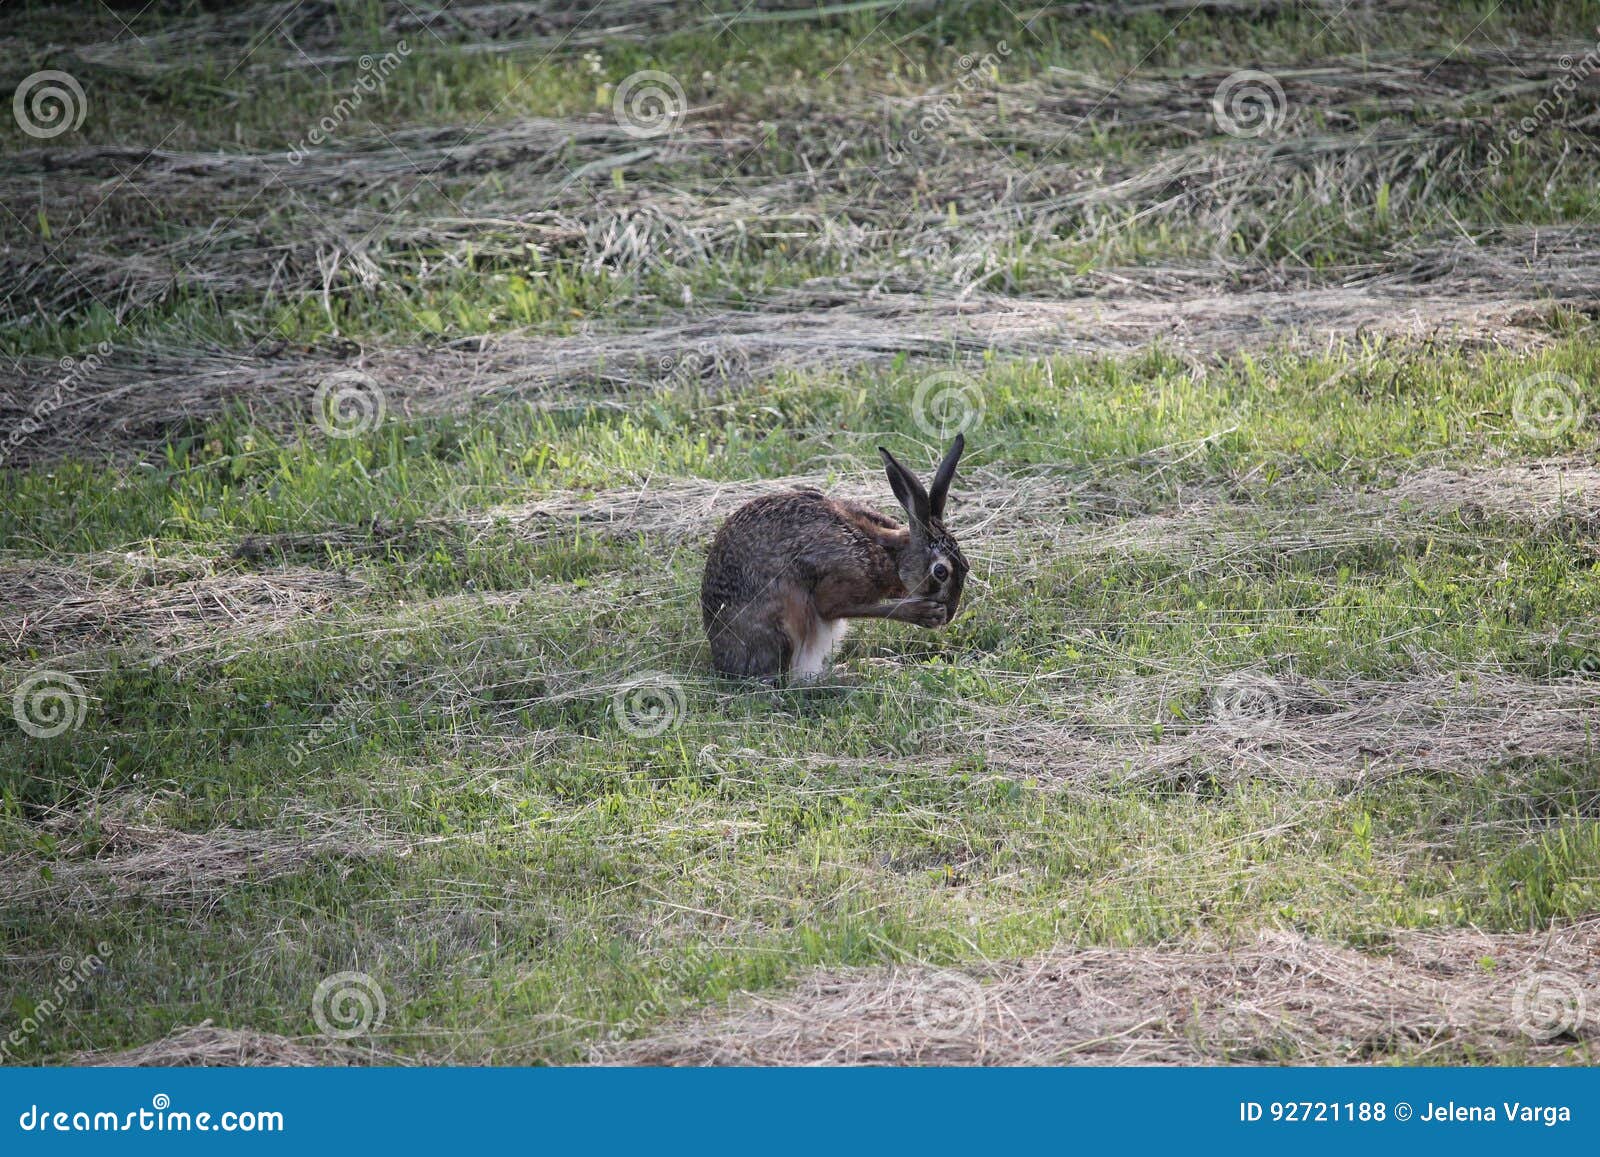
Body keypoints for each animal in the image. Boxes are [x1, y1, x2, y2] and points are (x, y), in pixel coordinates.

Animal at [701, 434, 968, 680]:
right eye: (941, 572)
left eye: (966, 566)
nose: (949, 614)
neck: (889, 554)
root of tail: (724, 662)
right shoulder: (837, 582)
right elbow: (835, 606)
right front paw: (925, 614)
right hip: (785, 621)